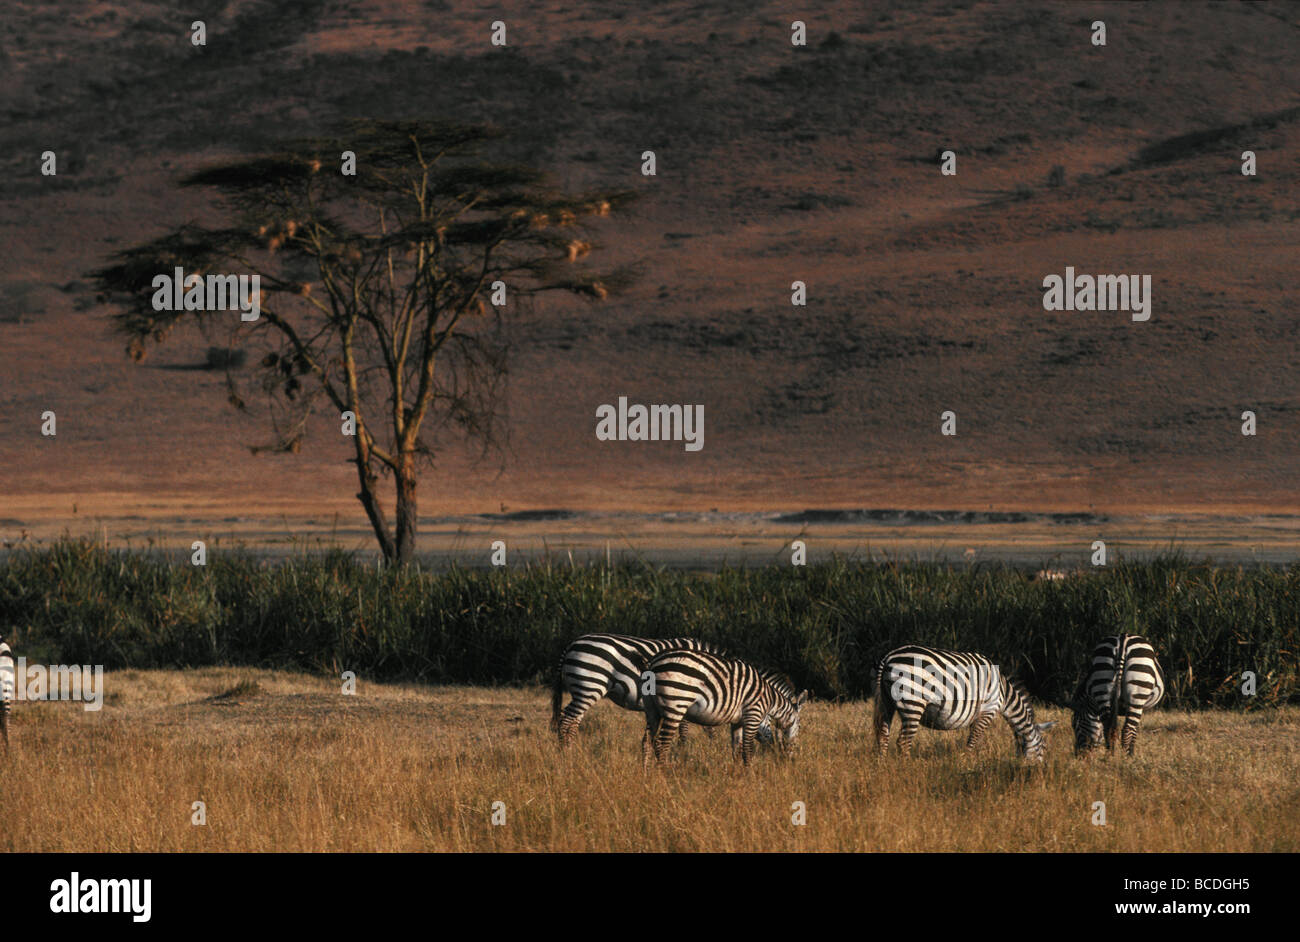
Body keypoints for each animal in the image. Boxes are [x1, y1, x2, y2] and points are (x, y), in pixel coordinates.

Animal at [641, 648, 809, 766]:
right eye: (800, 727)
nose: (791, 760)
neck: (769, 698)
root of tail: (652, 663)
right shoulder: (753, 715)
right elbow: (748, 750)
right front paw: (751, 779)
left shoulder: (737, 722)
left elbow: (736, 750)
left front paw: (737, 777)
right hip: (676, 705)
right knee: (662, 744)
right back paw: (665, 776)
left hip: (652, 709)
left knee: (646, 742)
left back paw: (647, 776)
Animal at [873, 644, 1054, 761]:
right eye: (1044, 748)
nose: (1039, 774)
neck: (1003, 693)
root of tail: (888, 657)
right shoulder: (988, 710)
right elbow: (973, 741)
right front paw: (967, 762)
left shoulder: (977, 715)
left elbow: (976, 741)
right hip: (913, 703)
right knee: (903, 742)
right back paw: (906, 769)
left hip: (886, 702)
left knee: (883, 736)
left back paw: (883, 768)